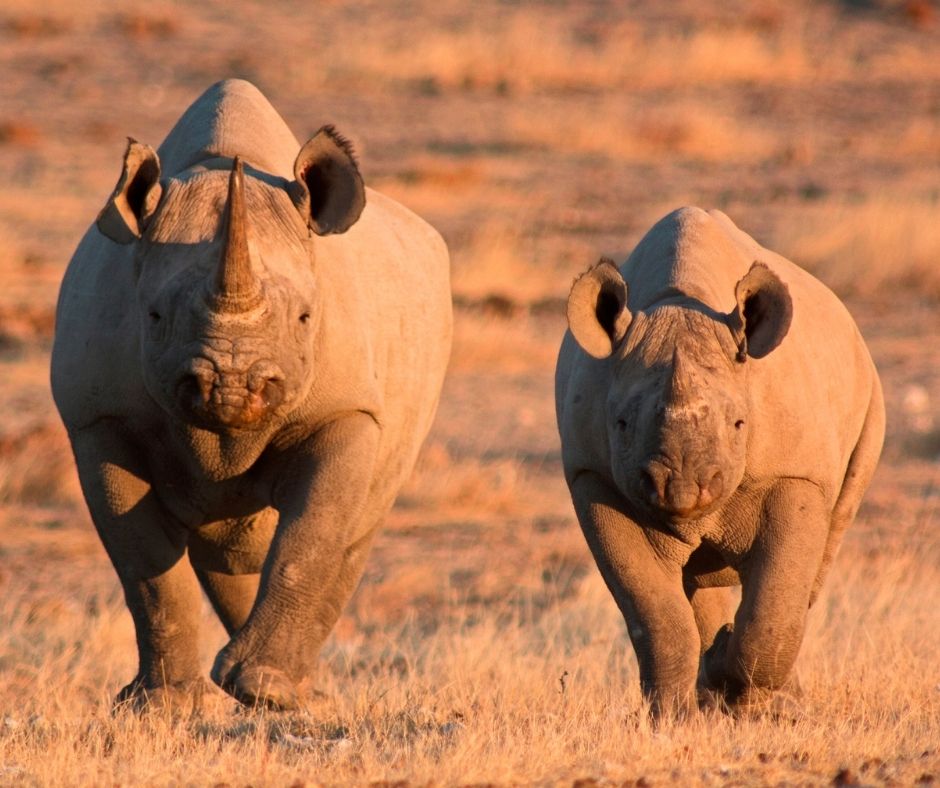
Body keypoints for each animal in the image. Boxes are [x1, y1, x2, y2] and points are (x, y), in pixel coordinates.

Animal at [51, 79, 452, 710]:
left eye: (307, 318)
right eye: (154, 316)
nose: (232, 386)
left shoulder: (347, 409)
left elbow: (312, 535)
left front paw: (264, 692)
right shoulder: (99, 419)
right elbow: (144, 564)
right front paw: (163, 705)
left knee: (353, 530)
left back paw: (294, 695)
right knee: (226, 548)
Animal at [555, 207, 884, 717]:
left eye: (739, 424)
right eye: (622, 424)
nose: (682, 488)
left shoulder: (795, 474)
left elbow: (774, 605)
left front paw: (742, 693)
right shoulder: (593, 477)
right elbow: (655, 613)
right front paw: (672, 717)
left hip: (868, 399)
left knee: (821, 553)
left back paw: (763, 696)